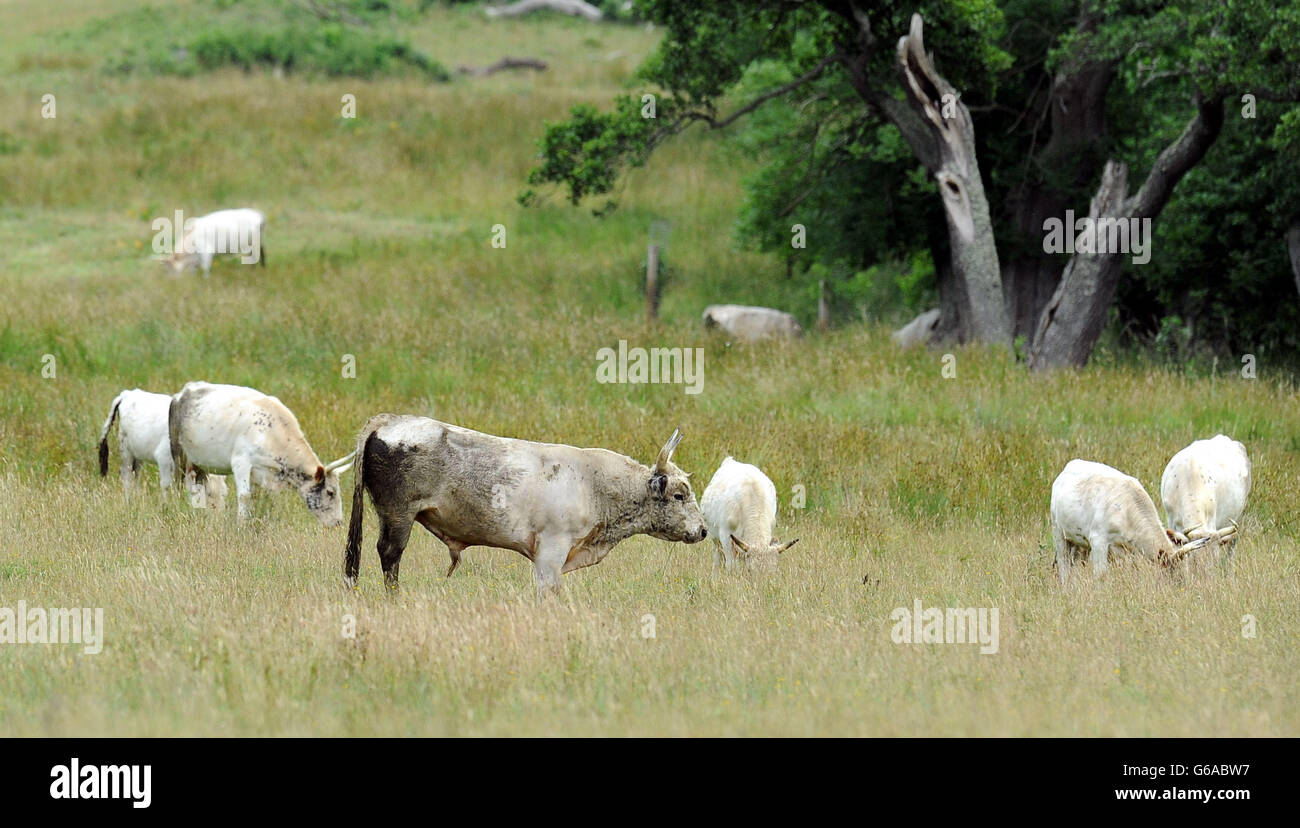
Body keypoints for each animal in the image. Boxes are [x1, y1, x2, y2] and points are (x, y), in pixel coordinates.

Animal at [98, 388, 228, 509]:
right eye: (209, 494)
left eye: (224, 494)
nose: (219, 513)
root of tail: (128, 393)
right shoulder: (164, 459)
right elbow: (167, 485)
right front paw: (167, 506)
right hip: (126, 450)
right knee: (127, 476)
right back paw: (129, 501)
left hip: (138, 454)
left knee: (136, 474)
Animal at [168, 382, 353, 524]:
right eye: (330, 492)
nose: (338, 522)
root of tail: (183, 392)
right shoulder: (241, 462)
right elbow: (244, 496)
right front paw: (241, 524)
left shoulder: (259, 472)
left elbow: (259, 497)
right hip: (179, 455)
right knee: (177, 486)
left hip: (200, 463)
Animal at [342, 416, 709, 595]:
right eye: (679, 494)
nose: (704, 530)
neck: (595, 484)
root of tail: (387, 422)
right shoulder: (551, 550)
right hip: (398, 515)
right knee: (390, 555)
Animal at [1049, 459, 1233, 586]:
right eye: (1173, 570)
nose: (1182, 586)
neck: (1127, 510)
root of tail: (1066, 469)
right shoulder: (1098, 541)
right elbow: (1101, 575)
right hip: (1059, 534)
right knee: (1064, 566)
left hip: (1079, 543)